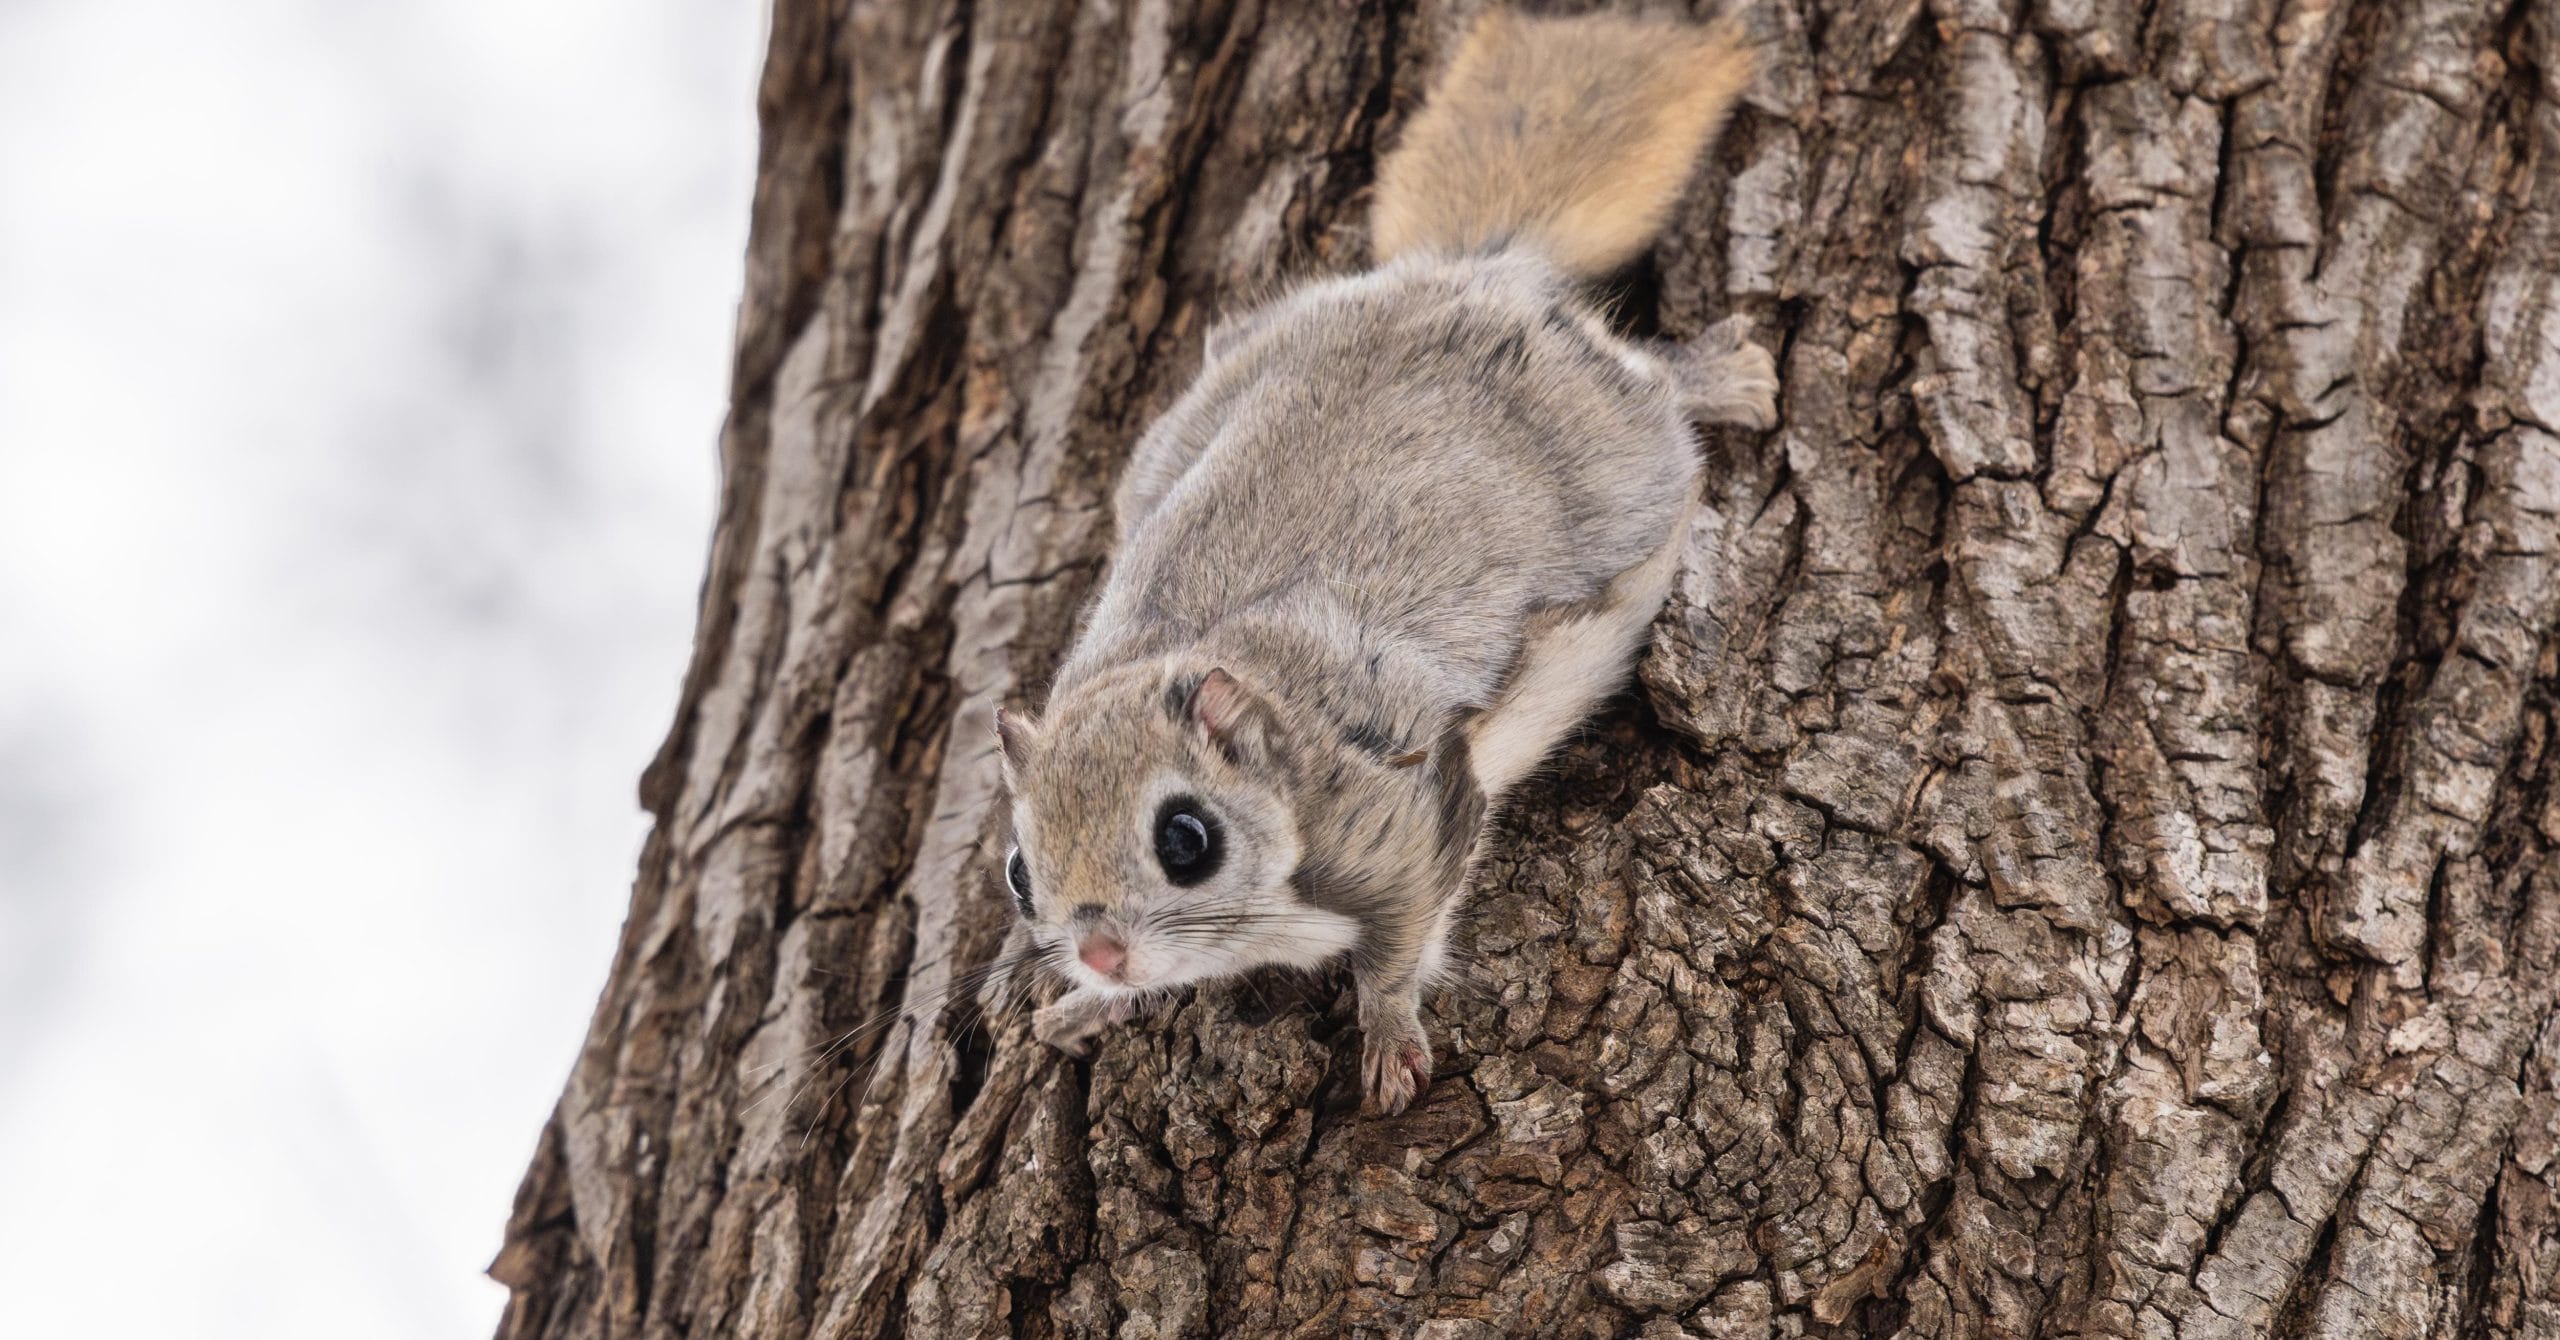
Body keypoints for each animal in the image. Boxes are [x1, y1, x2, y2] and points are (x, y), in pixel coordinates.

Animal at [989, 9, 1772, 1114]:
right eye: (1019, 870)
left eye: (1186, 839)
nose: (1099, 951)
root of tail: (1472, 276)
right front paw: (1085, 1007)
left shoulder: (1401, 815)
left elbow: (1398, 942)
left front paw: (1390, 1034)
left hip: (1625, 457)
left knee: (1651, 380)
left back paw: (1719, 374)